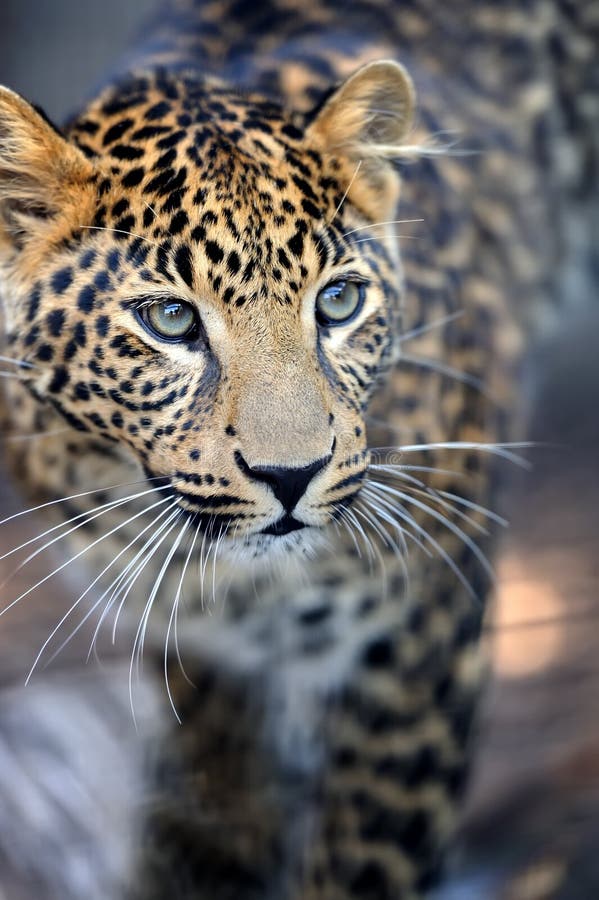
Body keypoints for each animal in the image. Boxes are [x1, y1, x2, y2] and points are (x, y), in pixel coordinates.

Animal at [0, 0, 596, 898]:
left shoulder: (416, 637)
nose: (292, 476)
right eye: (169, 319)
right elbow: (214, 805)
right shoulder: (202, 647)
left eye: (339, 301)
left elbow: (364, 855)